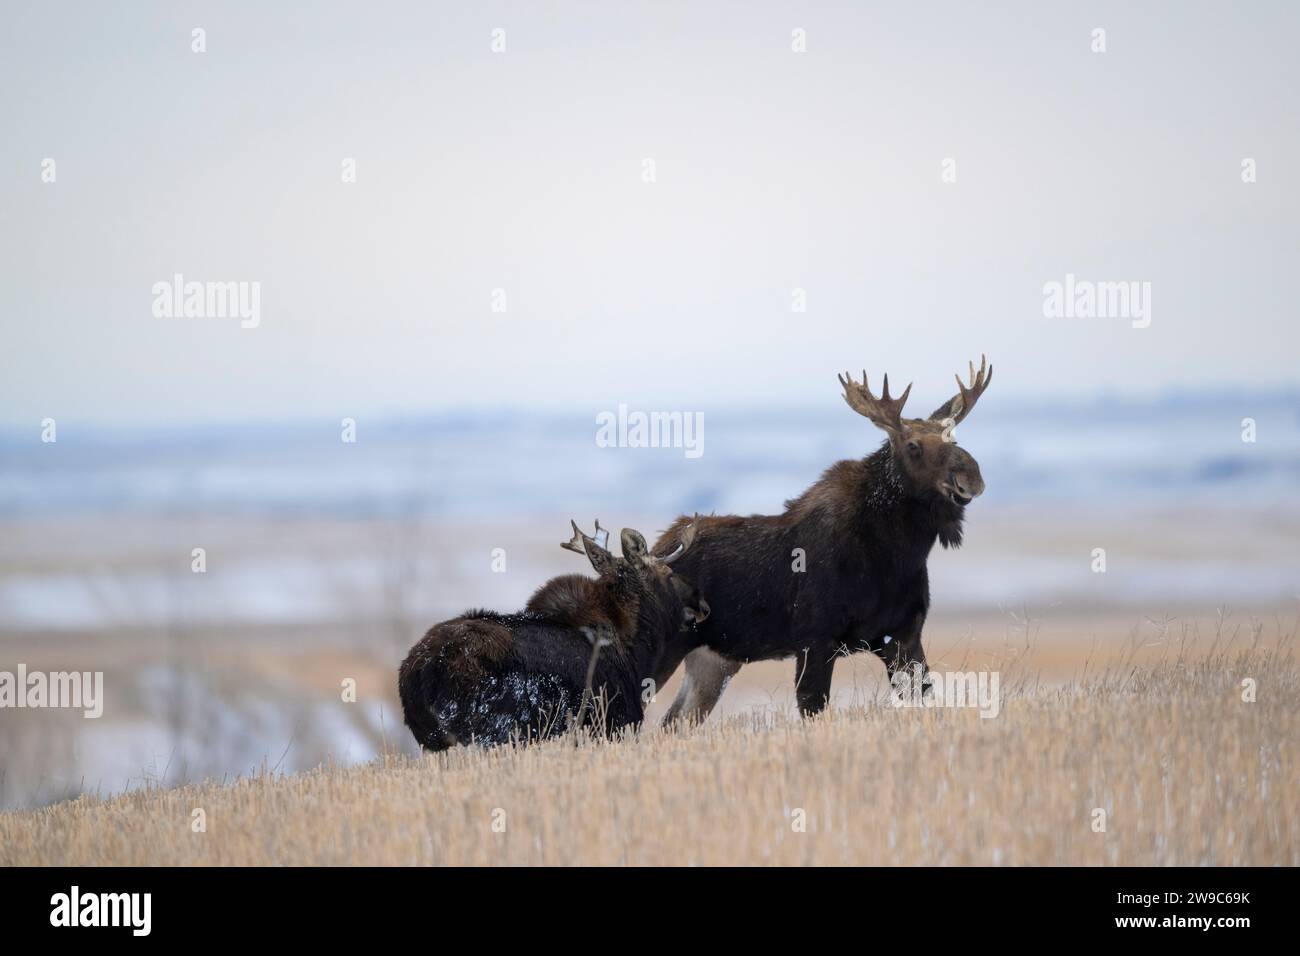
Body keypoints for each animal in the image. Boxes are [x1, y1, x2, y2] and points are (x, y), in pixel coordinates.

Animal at [398, 519, 707, 751]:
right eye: (669, 573)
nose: (702, 604)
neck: (636, 650)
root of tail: (416, 675)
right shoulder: (613, 723)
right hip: (490, 732)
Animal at [650, 357, 993, 723]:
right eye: (912, 445)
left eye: (953, 439)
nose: (970, 476)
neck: (899, 553)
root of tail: (655, 550)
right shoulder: (815, 641)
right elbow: (813, 707)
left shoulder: (904, 636)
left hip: (715, 659)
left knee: (673, 722)